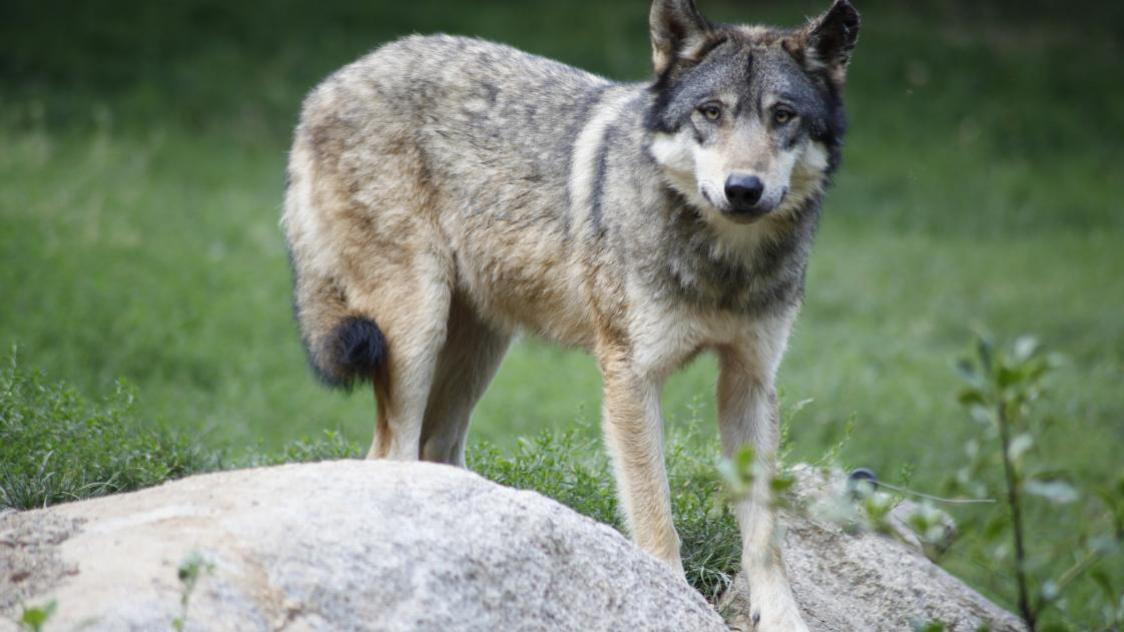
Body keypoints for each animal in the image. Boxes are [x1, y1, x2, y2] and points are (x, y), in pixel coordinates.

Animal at [284, 0, 859, 628]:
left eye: (783, 116)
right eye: (711, 112)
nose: (744, 189)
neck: (722, 267)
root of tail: (328, 86)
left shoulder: (750, 381)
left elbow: (764, 537)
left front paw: (783, 618)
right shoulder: (632, 378)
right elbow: (656, 518)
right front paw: (670, 600)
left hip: (479, 352)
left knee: (436, 452)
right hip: (415, 334)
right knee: (389, 453)